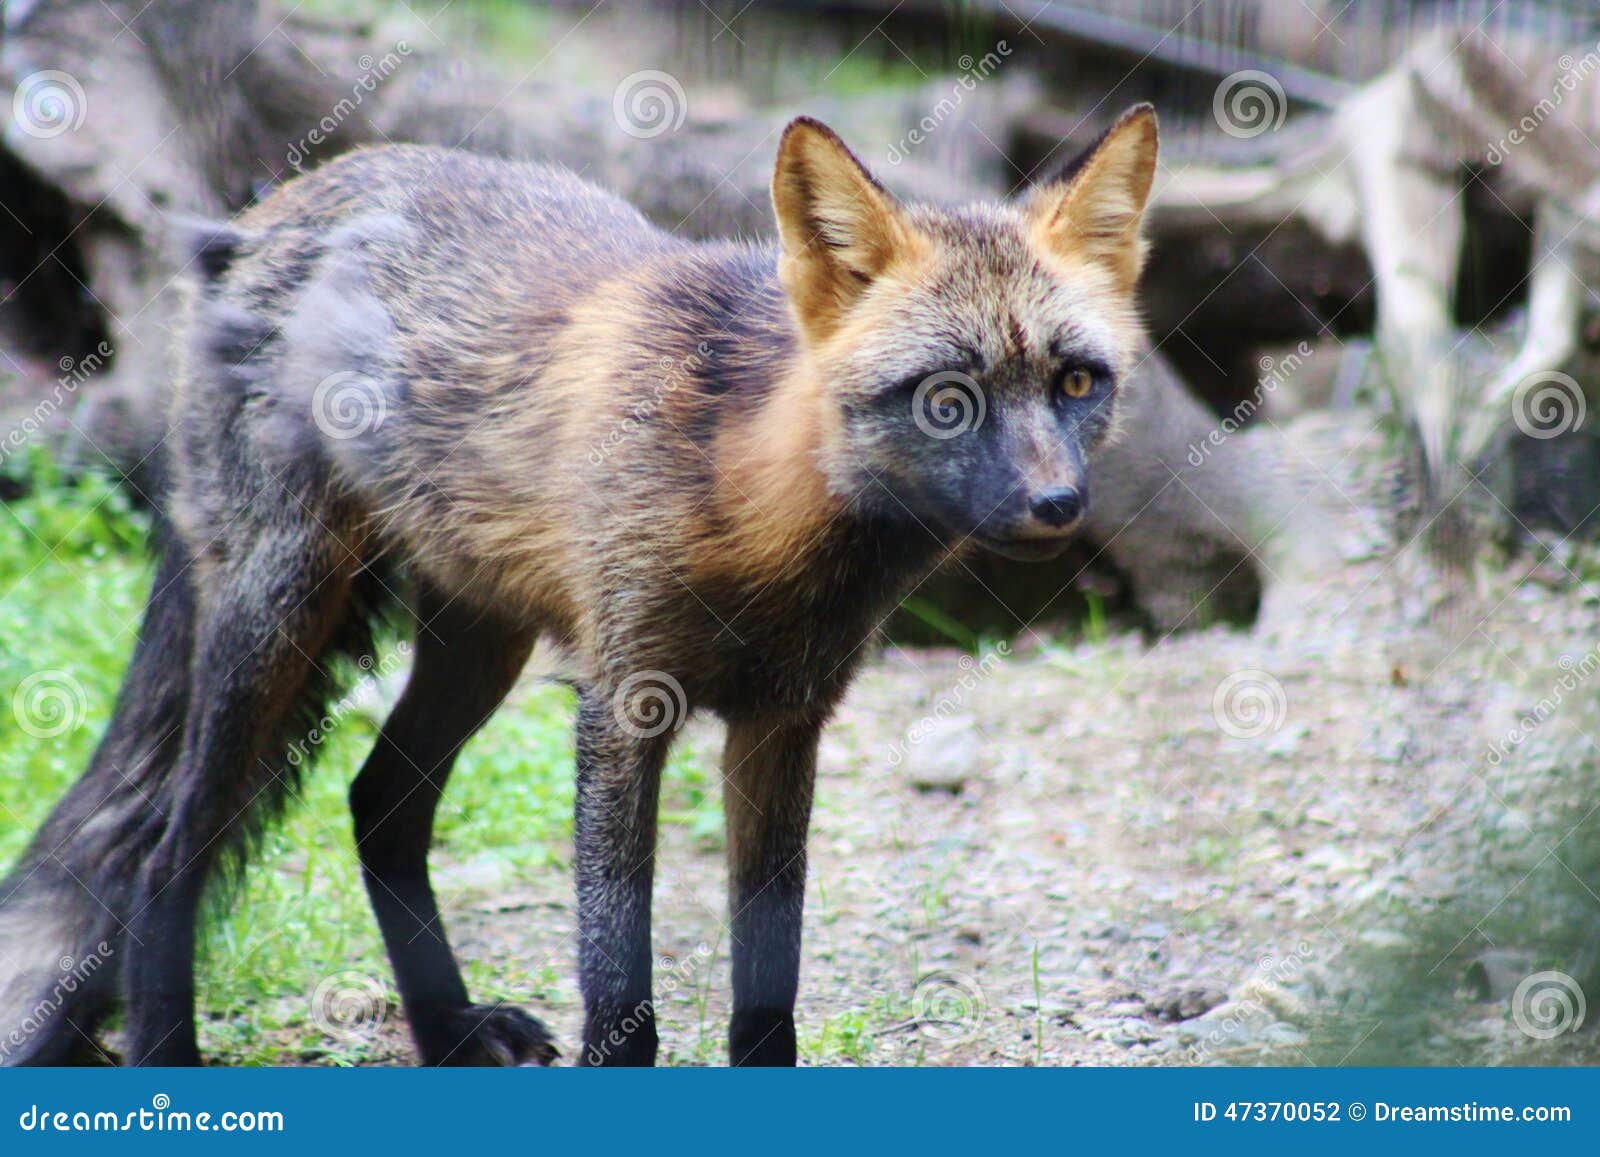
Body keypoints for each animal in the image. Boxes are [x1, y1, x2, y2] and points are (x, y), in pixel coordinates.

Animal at [0, 106, 1158, 1067]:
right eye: (948, 398)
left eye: (1075, 381)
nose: (1058, 503)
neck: (752, 509)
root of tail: (256, 223)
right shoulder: (623, 704)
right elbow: (619, 994)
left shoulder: (783, 721)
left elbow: (766, 996)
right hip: (273, 619)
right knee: (165, 855)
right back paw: (170, 1055)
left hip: (477, 645)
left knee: (377, 807)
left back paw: (446, 1033)